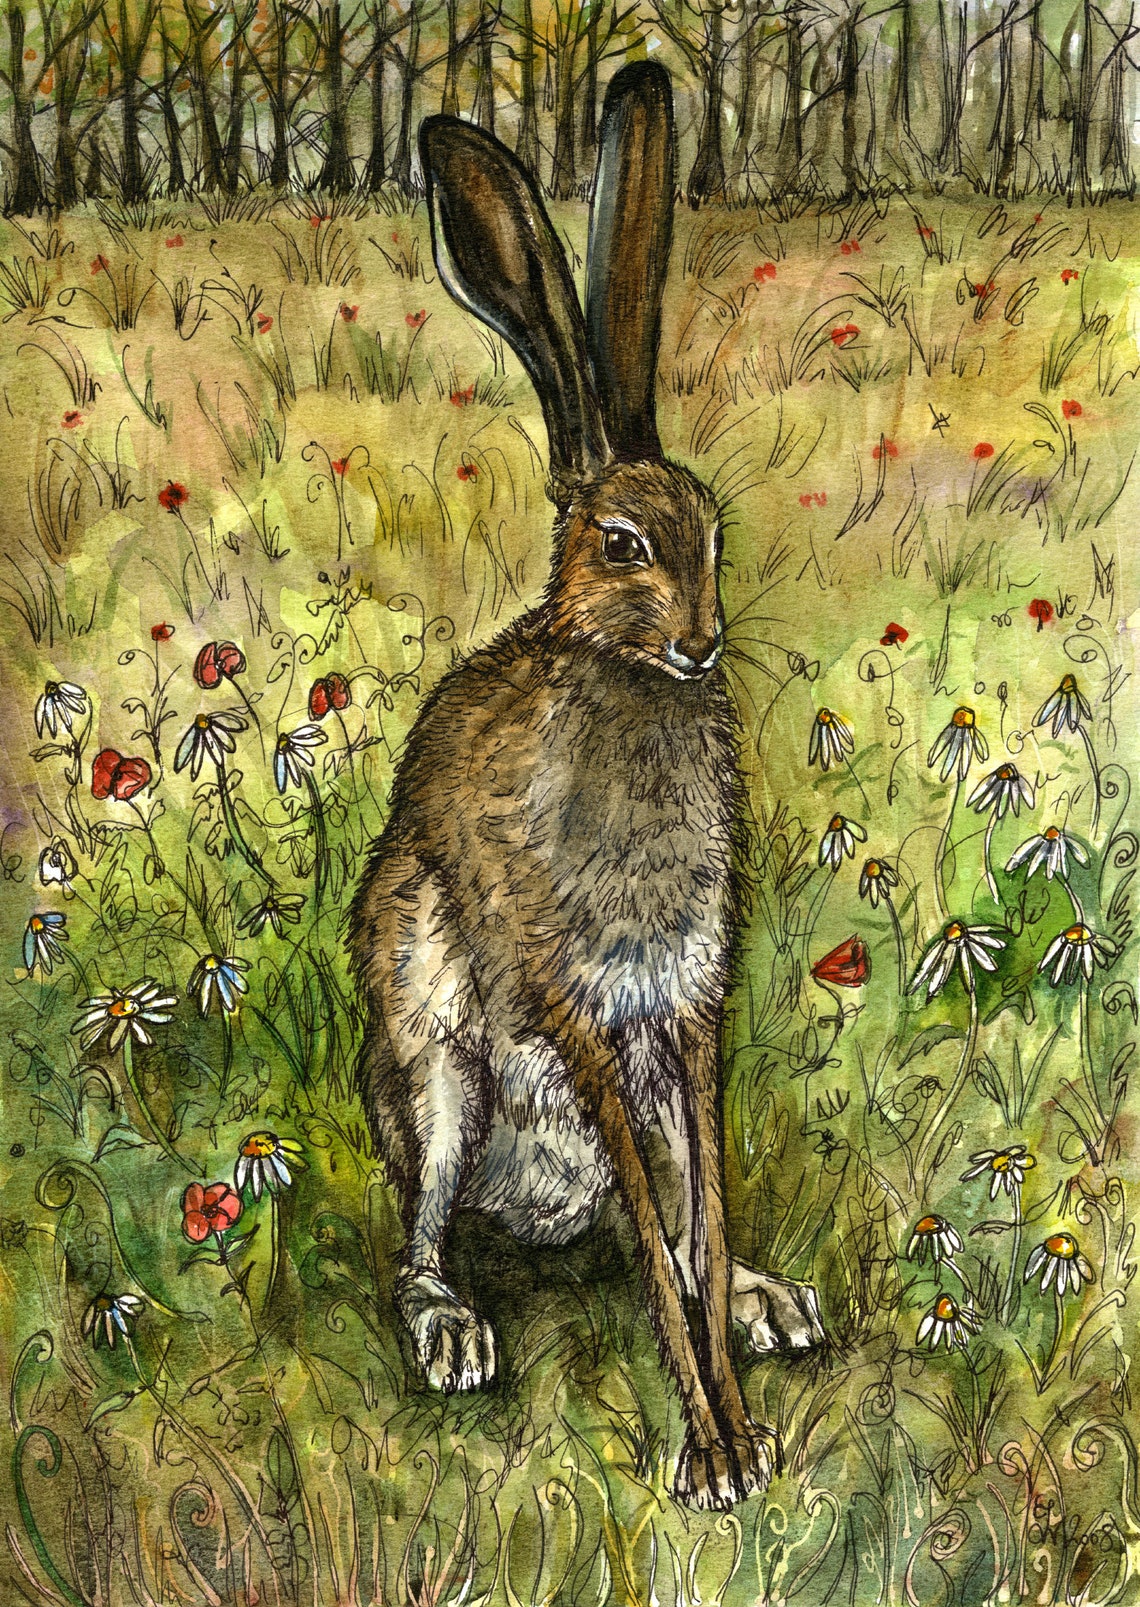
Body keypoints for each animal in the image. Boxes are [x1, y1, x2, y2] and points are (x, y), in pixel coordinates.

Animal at [348, 61, 824, 1511]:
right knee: (428, 1229)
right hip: (435, 1052)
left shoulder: (688, 1009)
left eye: (713, 533)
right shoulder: (581, 1008)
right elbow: (663, 1255)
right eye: (621, 543)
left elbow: (698, 1210)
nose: (704, 645)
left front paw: (737, 1424)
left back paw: (769, 1298)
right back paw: (450, 1329)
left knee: (658, 1221)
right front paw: (718, 1459)